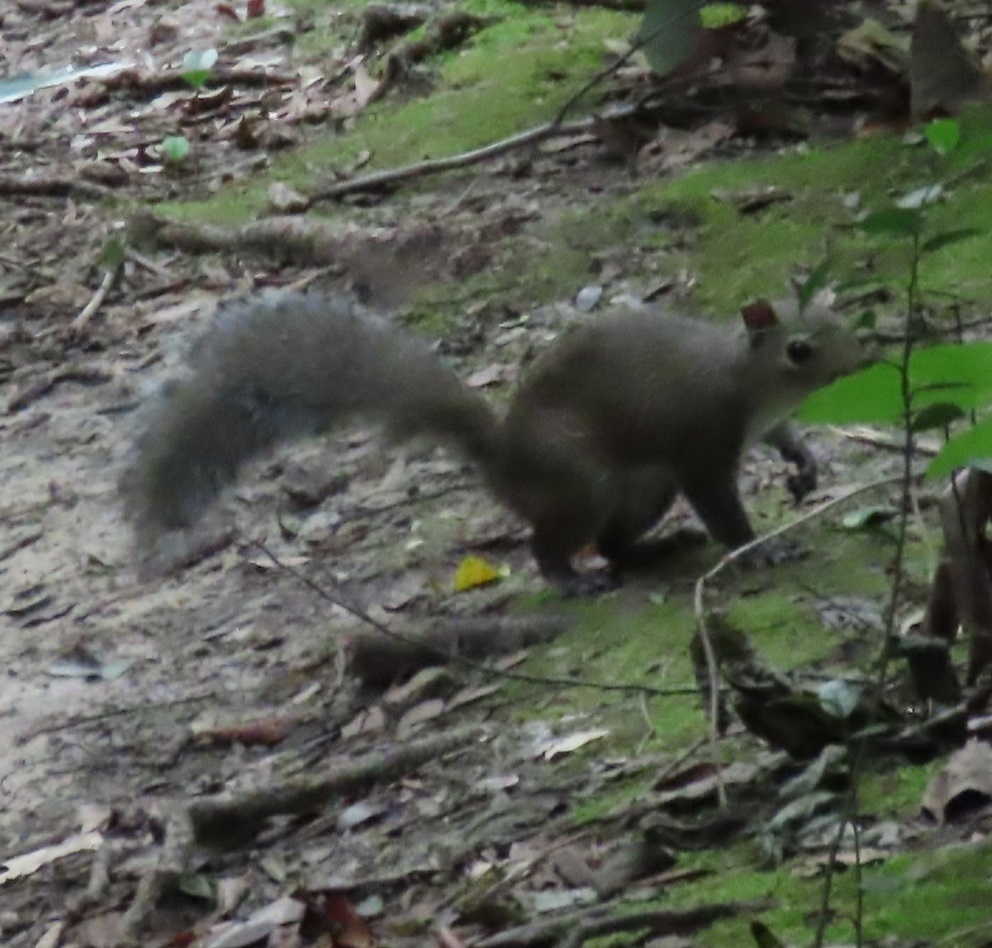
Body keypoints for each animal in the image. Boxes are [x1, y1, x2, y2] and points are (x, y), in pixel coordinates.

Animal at [121, 291, 865, 594]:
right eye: (800, 349)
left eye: (841, 319)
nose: (864, 360)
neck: (749, 380)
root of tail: (506, 462)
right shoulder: (703, 438)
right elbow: (722, 508)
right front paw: (761, 549)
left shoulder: (761, 423)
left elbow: (786, 438)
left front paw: (804, 465)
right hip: (584, 485)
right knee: (553, 546)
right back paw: (571, 580)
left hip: (642, 491)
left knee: (615, 544)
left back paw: (661, 547)